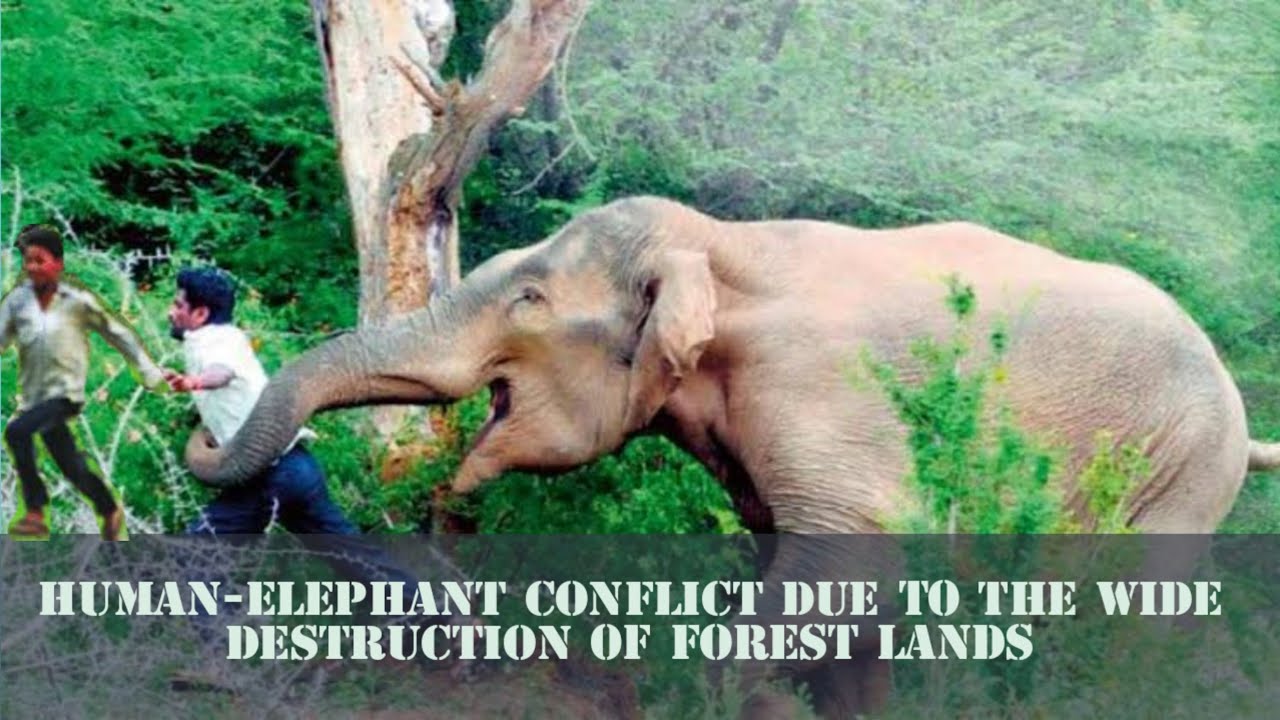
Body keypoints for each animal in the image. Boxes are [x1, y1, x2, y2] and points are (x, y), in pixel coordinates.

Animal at [185, 196, 1279, 716]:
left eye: (528, 300)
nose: (448, 516)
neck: (722, 244)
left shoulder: (823, 396)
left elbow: (852, 561)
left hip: (1181, 469)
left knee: (1131, 620)